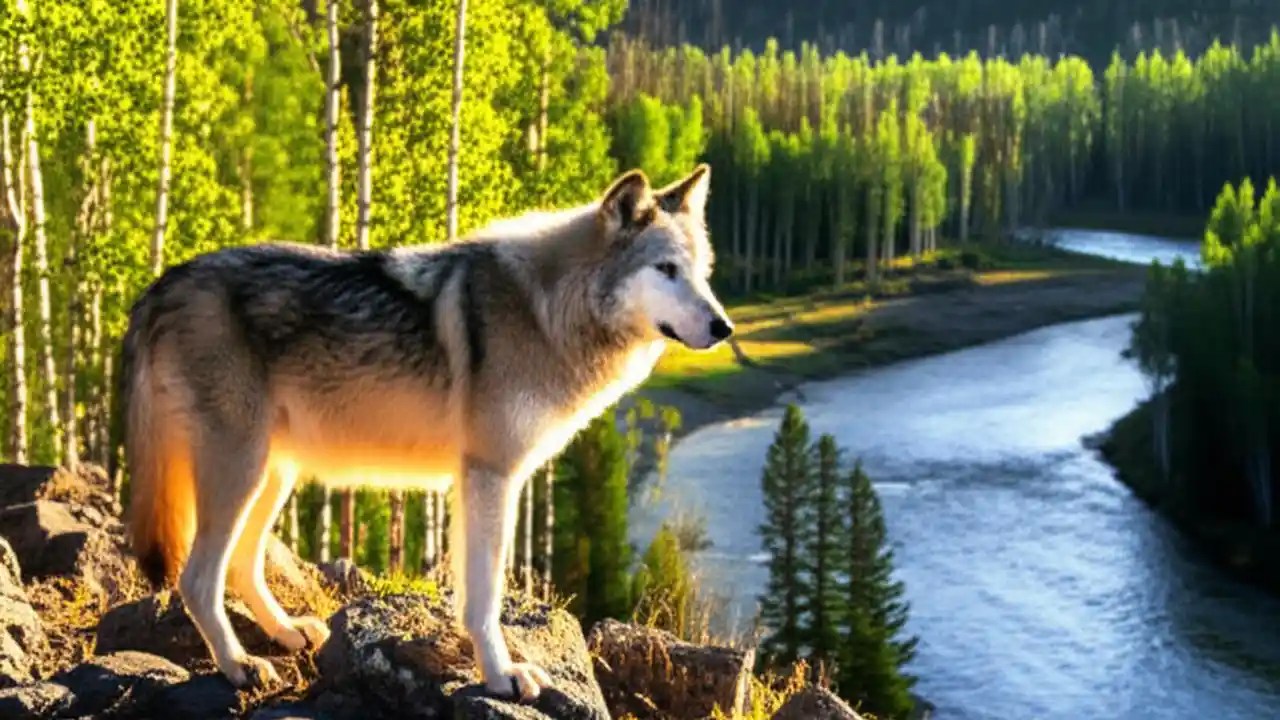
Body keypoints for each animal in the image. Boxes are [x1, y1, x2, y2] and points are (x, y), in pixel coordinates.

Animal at [115, 165, 732, 699]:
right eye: (666, 269)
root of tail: (162, 283)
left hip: (271, 475)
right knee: (197, 579)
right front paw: (502, 676)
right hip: (239, 471)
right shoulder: (491, 474)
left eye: (703, 274)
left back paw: (287, 633)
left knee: (242, 565)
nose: (724, 326)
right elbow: (485, 596)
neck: (546, 309)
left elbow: (470, 592)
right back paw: (239, 665)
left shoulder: (475, 482)